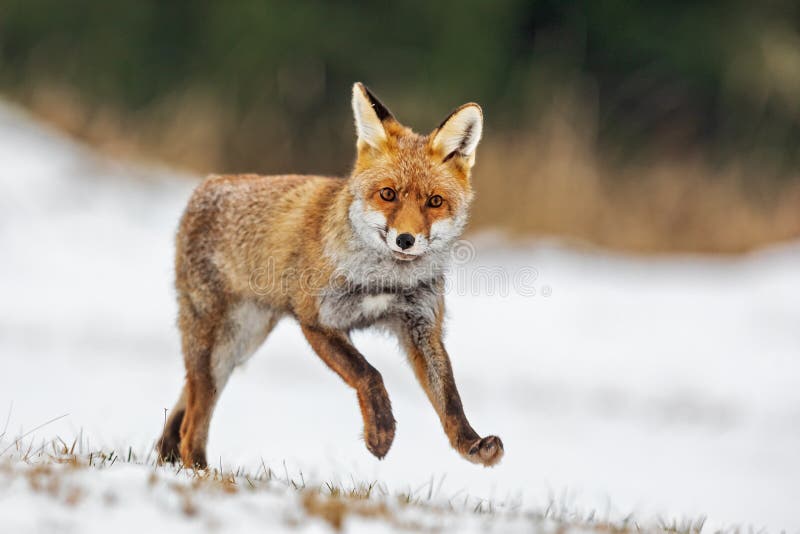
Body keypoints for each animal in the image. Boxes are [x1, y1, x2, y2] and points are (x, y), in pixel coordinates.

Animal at [157, 82, 504, 468]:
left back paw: (169, 455)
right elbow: (369, 373)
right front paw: (380, 432)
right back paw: (197, 468)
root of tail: (208, 184)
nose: (405, 239)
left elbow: (450, 397)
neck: (384, 279)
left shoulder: (420, 326)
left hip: (242, 345)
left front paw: (471, 445)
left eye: (435, 202)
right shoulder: (318, 322)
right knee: (194, 418)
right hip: (218, 345)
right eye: (388, 194)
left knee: (185, 404)